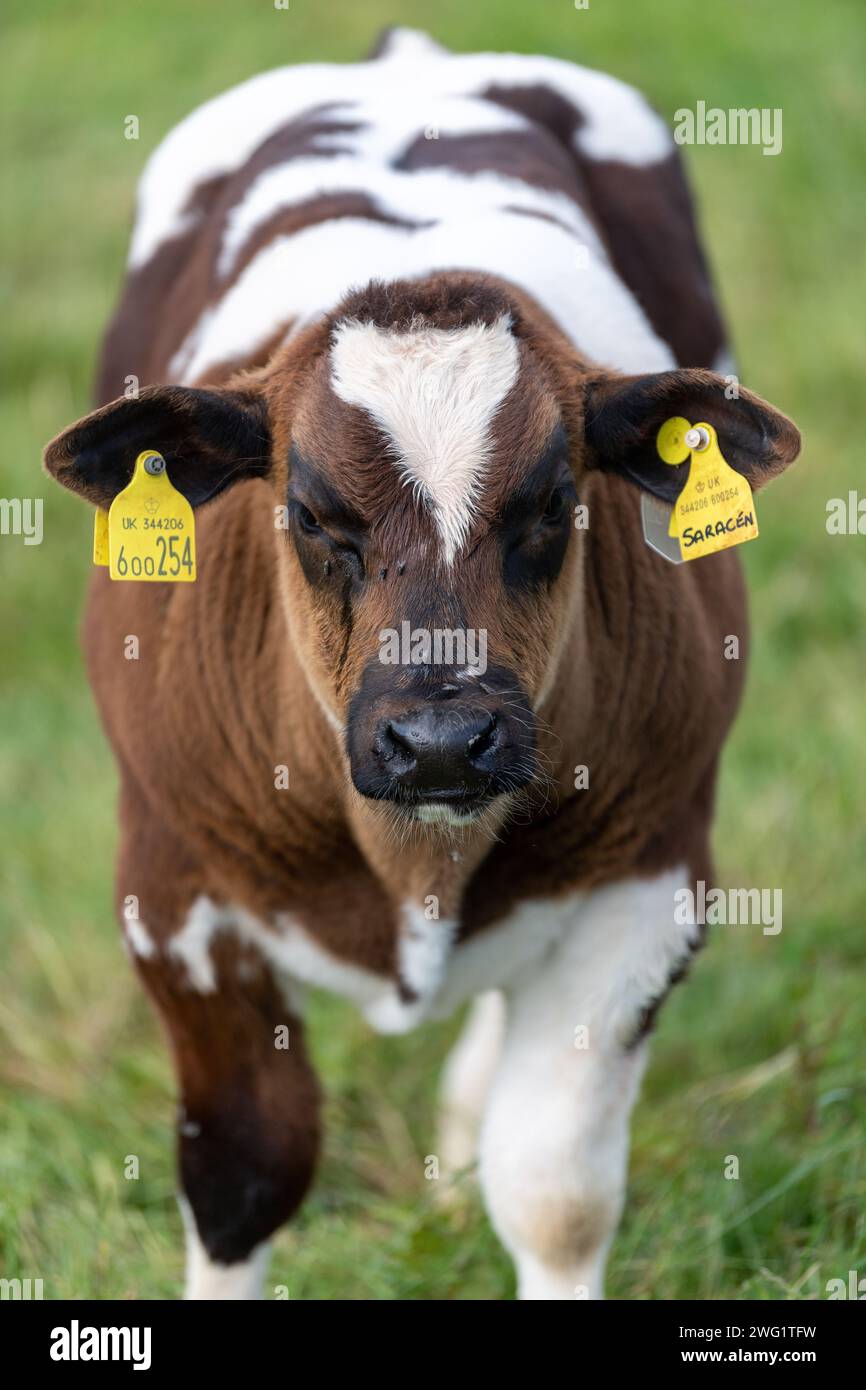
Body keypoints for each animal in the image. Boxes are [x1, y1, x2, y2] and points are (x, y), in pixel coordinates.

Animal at [43, 26, 800, 1299]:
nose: (442, 739)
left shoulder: (647, 877)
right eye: (309, 514)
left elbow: (552, 1192)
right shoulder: (172, 884)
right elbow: (245, 1170)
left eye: (550, 504)